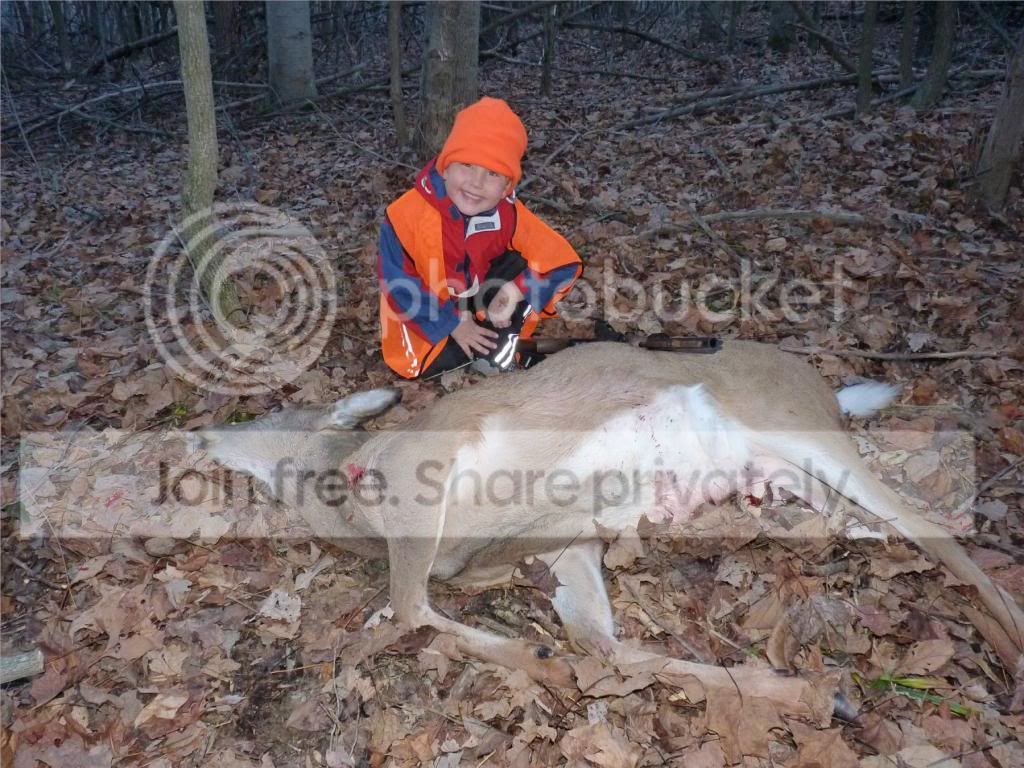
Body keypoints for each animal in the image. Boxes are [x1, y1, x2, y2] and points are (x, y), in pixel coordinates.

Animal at [192, 341, 1024, 720]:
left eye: (274, 413)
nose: (200, 431)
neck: (353, 492)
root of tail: (823, 383)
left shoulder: (434, 478)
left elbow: (407, 606)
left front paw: (534, 656)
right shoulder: (569, 546)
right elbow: (605, 646)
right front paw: (797, 692)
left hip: (807, 433)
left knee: (940, 535)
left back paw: (1011, 649)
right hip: (788, 475)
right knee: (866, 525)